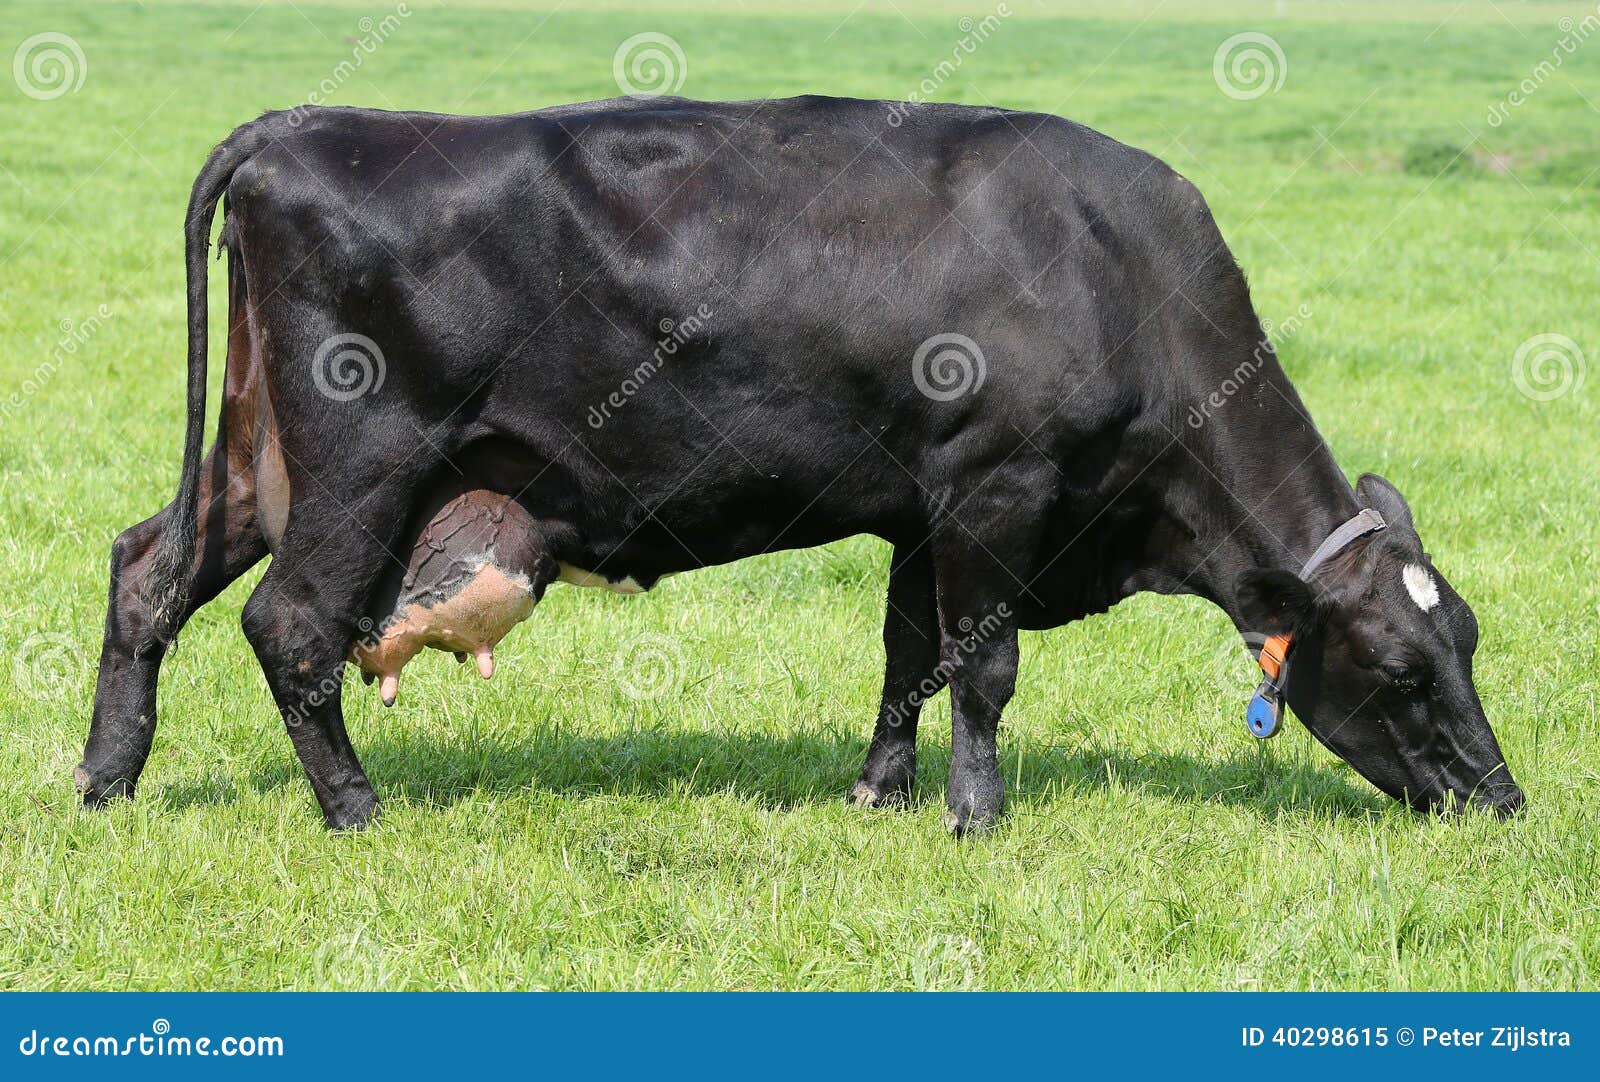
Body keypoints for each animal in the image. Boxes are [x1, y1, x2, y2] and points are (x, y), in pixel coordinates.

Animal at [78, 95, 1523, 833]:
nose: (1502, 797)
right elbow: (984, 665)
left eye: (1467, 641)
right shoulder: (995, 486)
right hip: (361, 463)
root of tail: (305, 123)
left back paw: (107, 778)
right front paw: (975, 814)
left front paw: (882, 792)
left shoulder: (925, 508)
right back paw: (357, 805)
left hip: (254, 454)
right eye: (1401, 665)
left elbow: (907, 654)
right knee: (290, 623)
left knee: (147, 571)